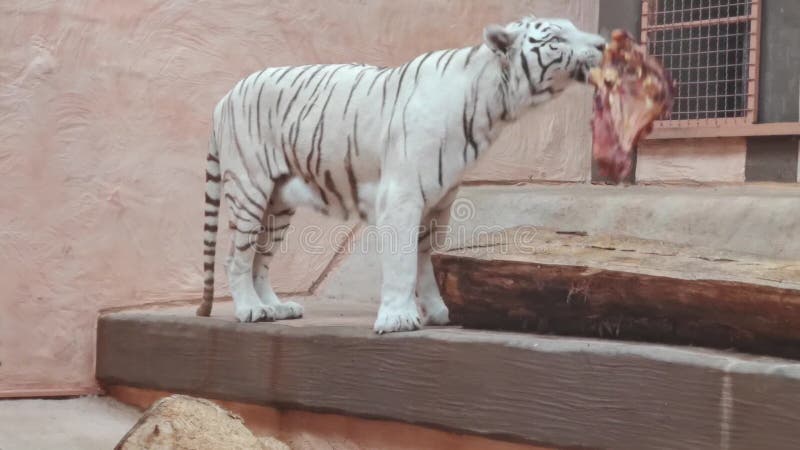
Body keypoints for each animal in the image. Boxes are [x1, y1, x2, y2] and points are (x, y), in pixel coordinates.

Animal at [197, 14, 606, 334]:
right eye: (556, 39)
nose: (603, 44)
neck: (493, 102)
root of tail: (224, 98)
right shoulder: (402, 196)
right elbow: (402, 262)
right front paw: (397, 319)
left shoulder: (438, 202)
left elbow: (425, 261)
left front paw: (436, 312)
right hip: (250, 188)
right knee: (237, 256)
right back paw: (250, 309)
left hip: (279, 202)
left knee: (260, 260)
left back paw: (275, 308)